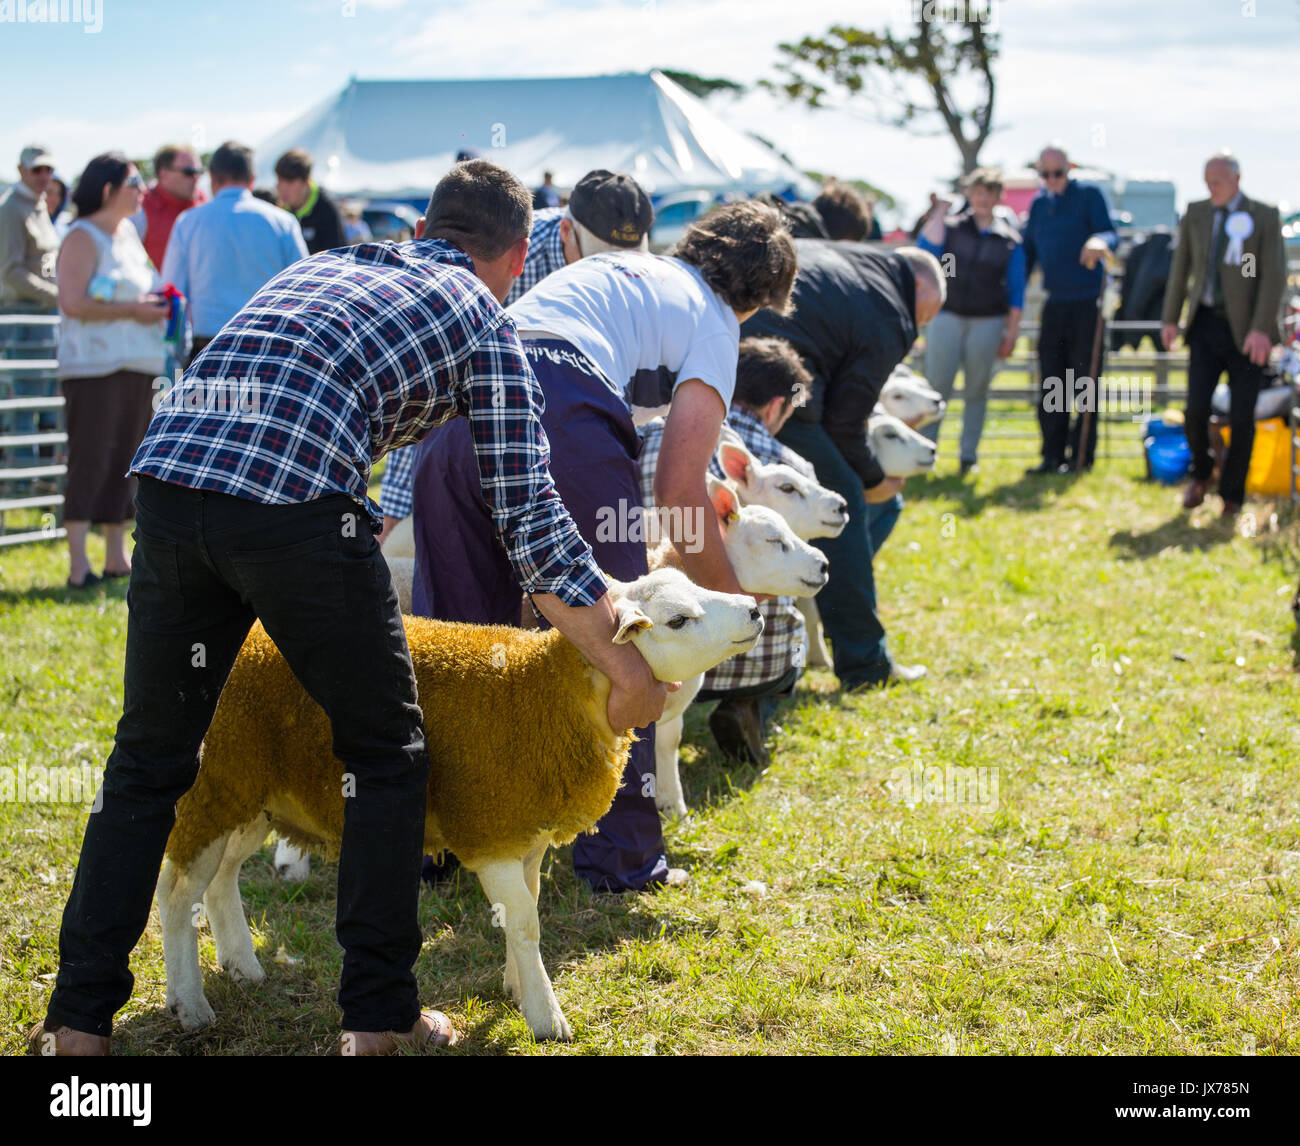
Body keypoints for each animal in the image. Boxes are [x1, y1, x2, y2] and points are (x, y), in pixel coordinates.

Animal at [157, 568, 763, 1042]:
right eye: (678, 620)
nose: (755, 610)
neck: (546, 692)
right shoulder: (490, 831)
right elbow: (525, 923)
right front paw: (545, 1016)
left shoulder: (526, 834)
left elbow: (526, 910)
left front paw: (517, 986)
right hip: (216, 782)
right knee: (177, 892)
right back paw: (190, 1005)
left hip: (249, 794)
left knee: (221, 881)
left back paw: (243, 968)